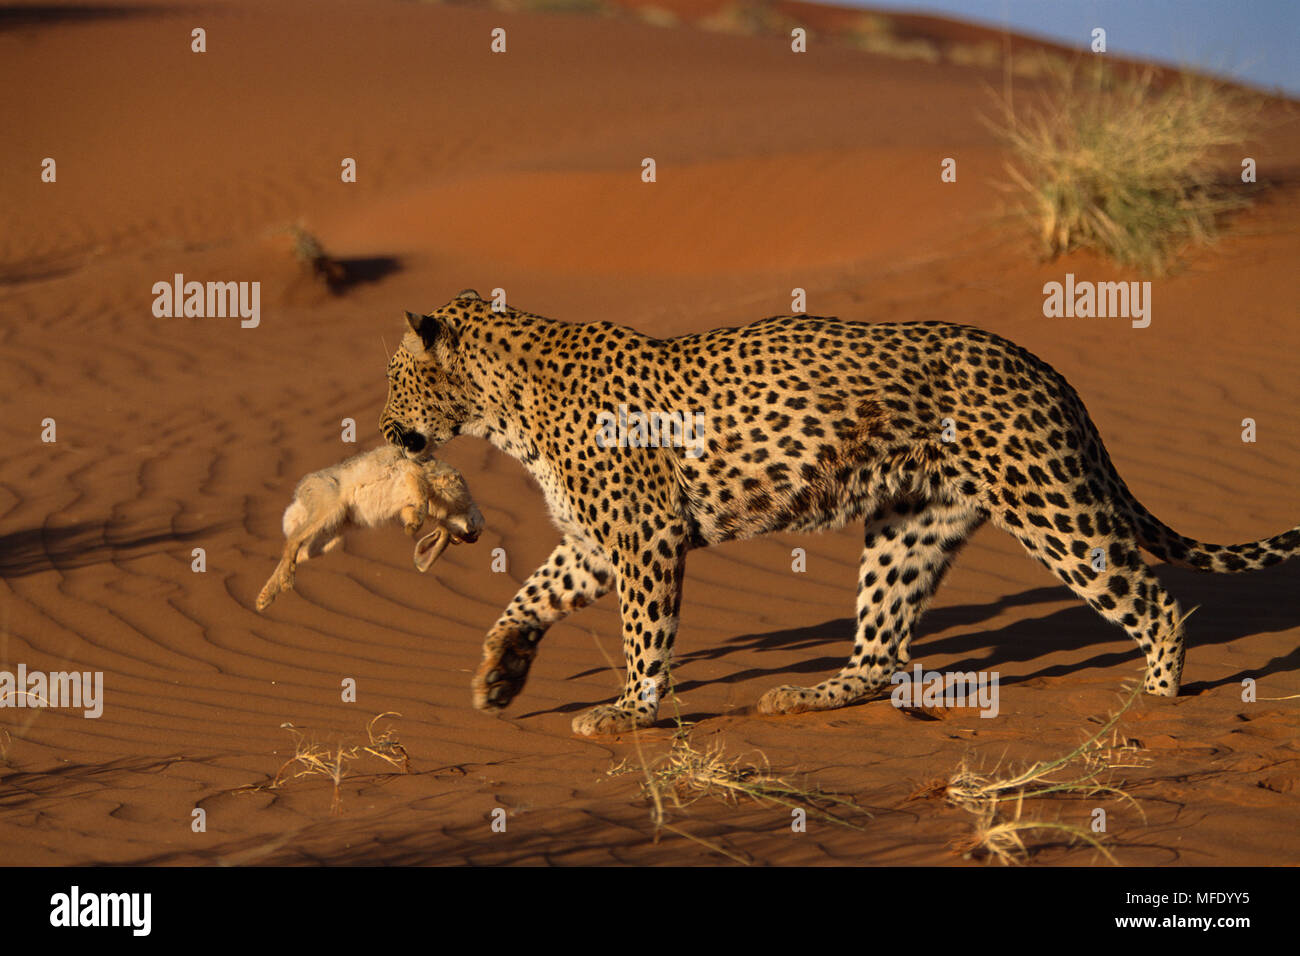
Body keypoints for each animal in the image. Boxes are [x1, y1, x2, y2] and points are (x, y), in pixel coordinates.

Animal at [380, 289, 1299, 736]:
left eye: (394, 379)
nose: (386, 431)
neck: (502, 407)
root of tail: (1045, 366)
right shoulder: (597, 540)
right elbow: (527, 597)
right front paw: (499, 673)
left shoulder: (644, 537)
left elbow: (645, 634)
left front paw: (630, 713)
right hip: (909, 525)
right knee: (882, 651)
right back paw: (806, 695)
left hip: (1048, 503)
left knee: (1154, 601)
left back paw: (1155, 699)